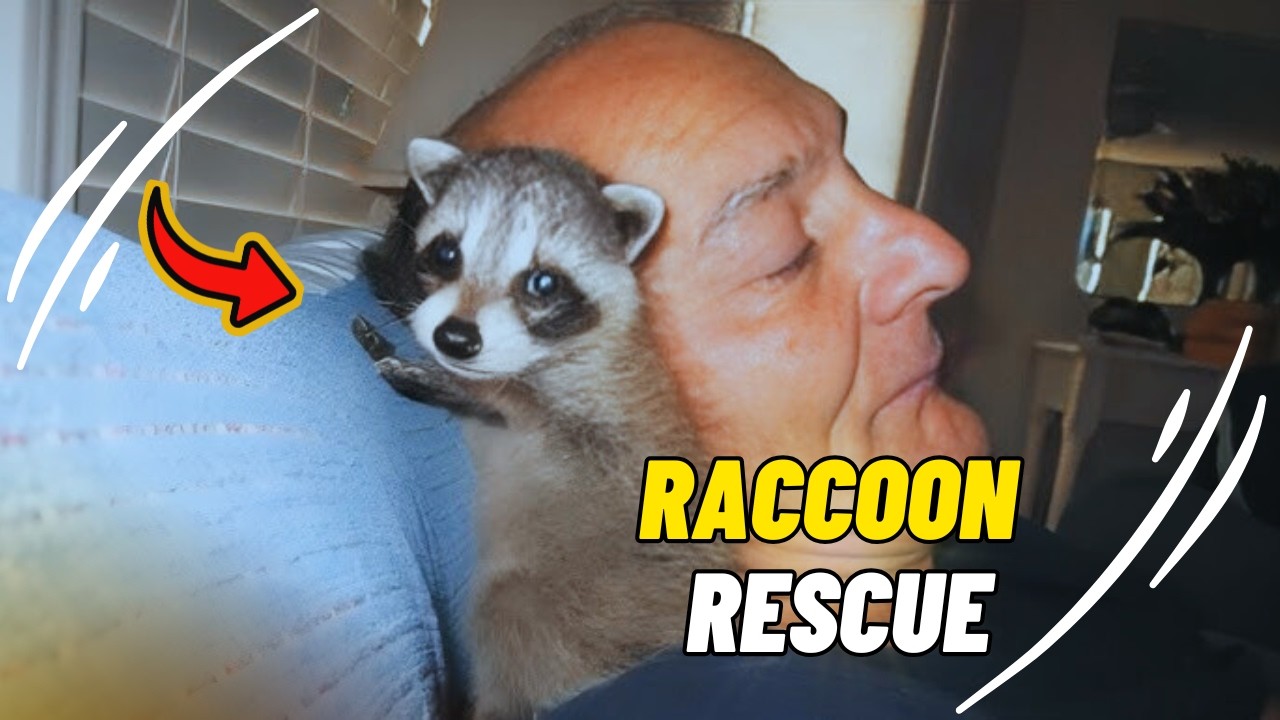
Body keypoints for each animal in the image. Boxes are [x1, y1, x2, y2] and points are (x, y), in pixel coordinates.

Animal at [353, 139, 723, 720]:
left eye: (542, 282)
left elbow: (526, 407)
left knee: (510, 615)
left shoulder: (596, 425)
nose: (455, 339)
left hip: (576, 605)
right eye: (447, 254)